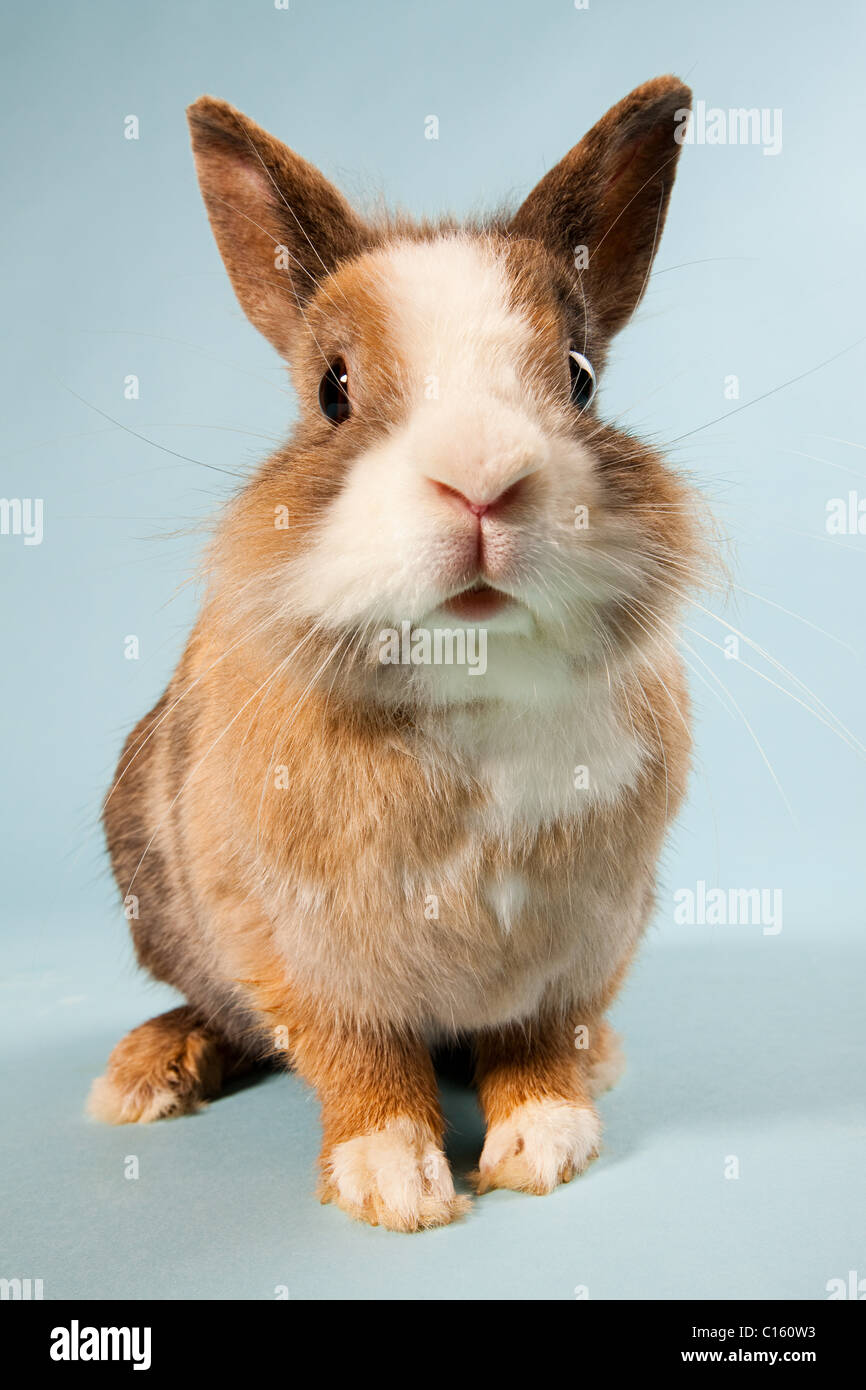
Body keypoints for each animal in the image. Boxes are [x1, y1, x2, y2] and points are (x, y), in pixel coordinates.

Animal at [89, 75, 704, 1231]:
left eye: (579, 376)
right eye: (332, 389)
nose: (482, 477)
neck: (474, 678)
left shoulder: (578, 940)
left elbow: (533, 1037)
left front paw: (544, 1140)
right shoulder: (296, 941)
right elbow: (355, 1054)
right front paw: (394, 1181)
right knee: (219, 1011)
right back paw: (147, 1072)